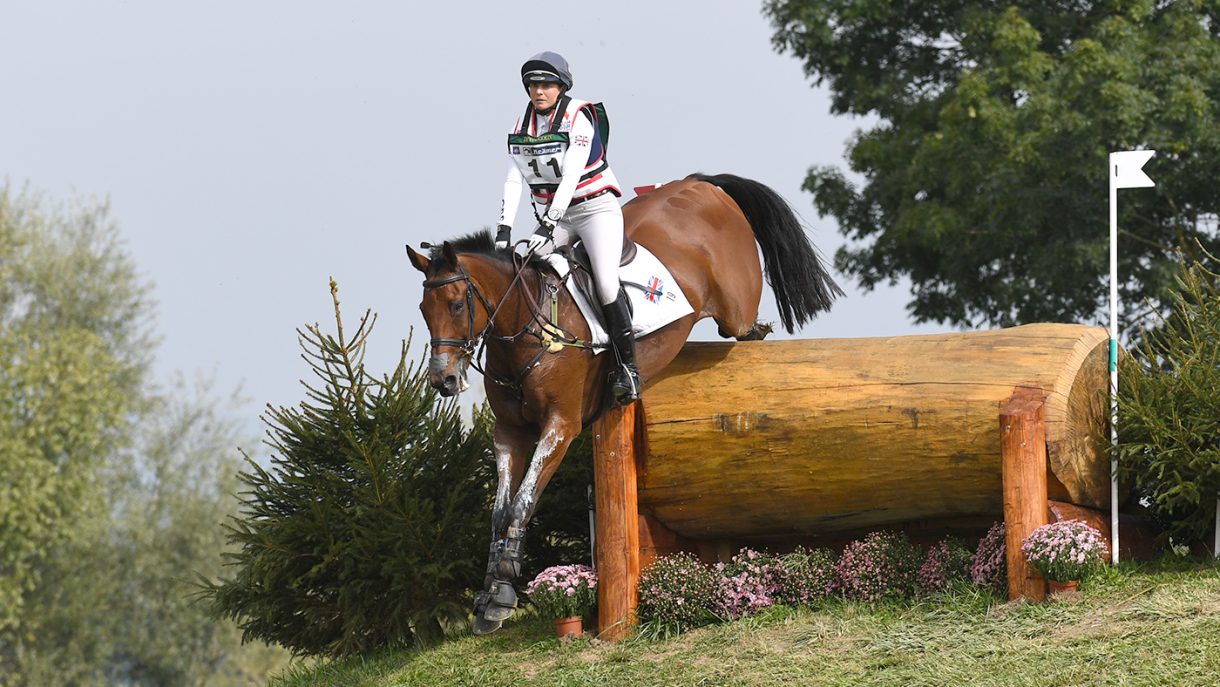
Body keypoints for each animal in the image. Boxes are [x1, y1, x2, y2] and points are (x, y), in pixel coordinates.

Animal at [405, 173, 842, 634]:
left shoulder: (560, 426)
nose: (443, 380)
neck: (528, 324)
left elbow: (522, 504)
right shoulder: (509, 433)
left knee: (752, 330)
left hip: (735, 313)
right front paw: (489, 597)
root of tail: (699, 183)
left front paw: (502, 598)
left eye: (456, 305)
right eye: (423, 309)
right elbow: (500, 512)